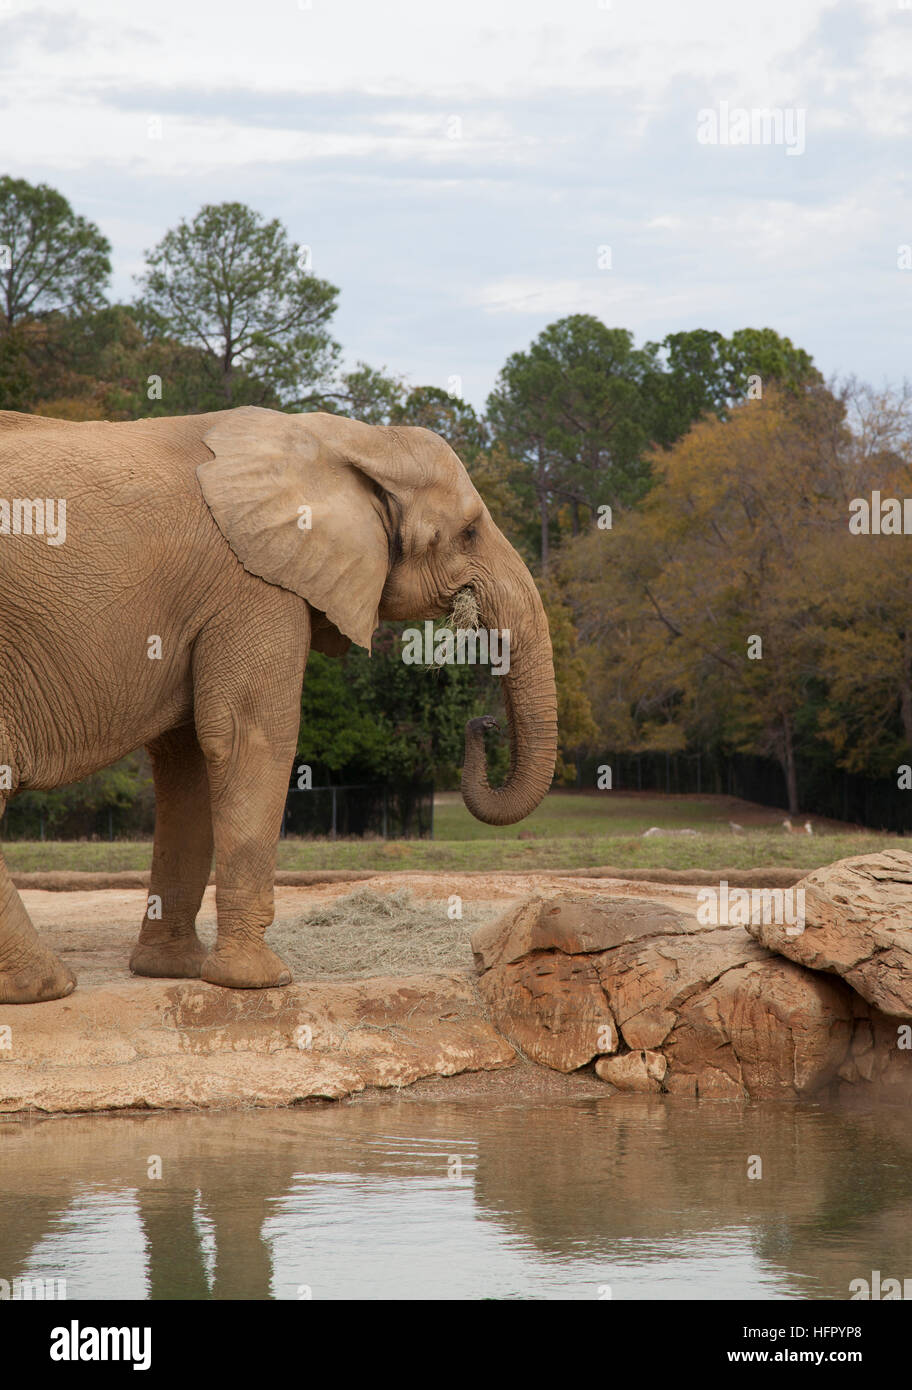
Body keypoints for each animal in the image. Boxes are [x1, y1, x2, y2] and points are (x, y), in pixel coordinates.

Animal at [0, 407, 557, 1003]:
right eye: (470, 531)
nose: (485, 722)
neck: (343, 437)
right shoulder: (254, 584)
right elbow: (249, 736)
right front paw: (258, 982)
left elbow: (189, 758)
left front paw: (173, 970)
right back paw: (47, 986)